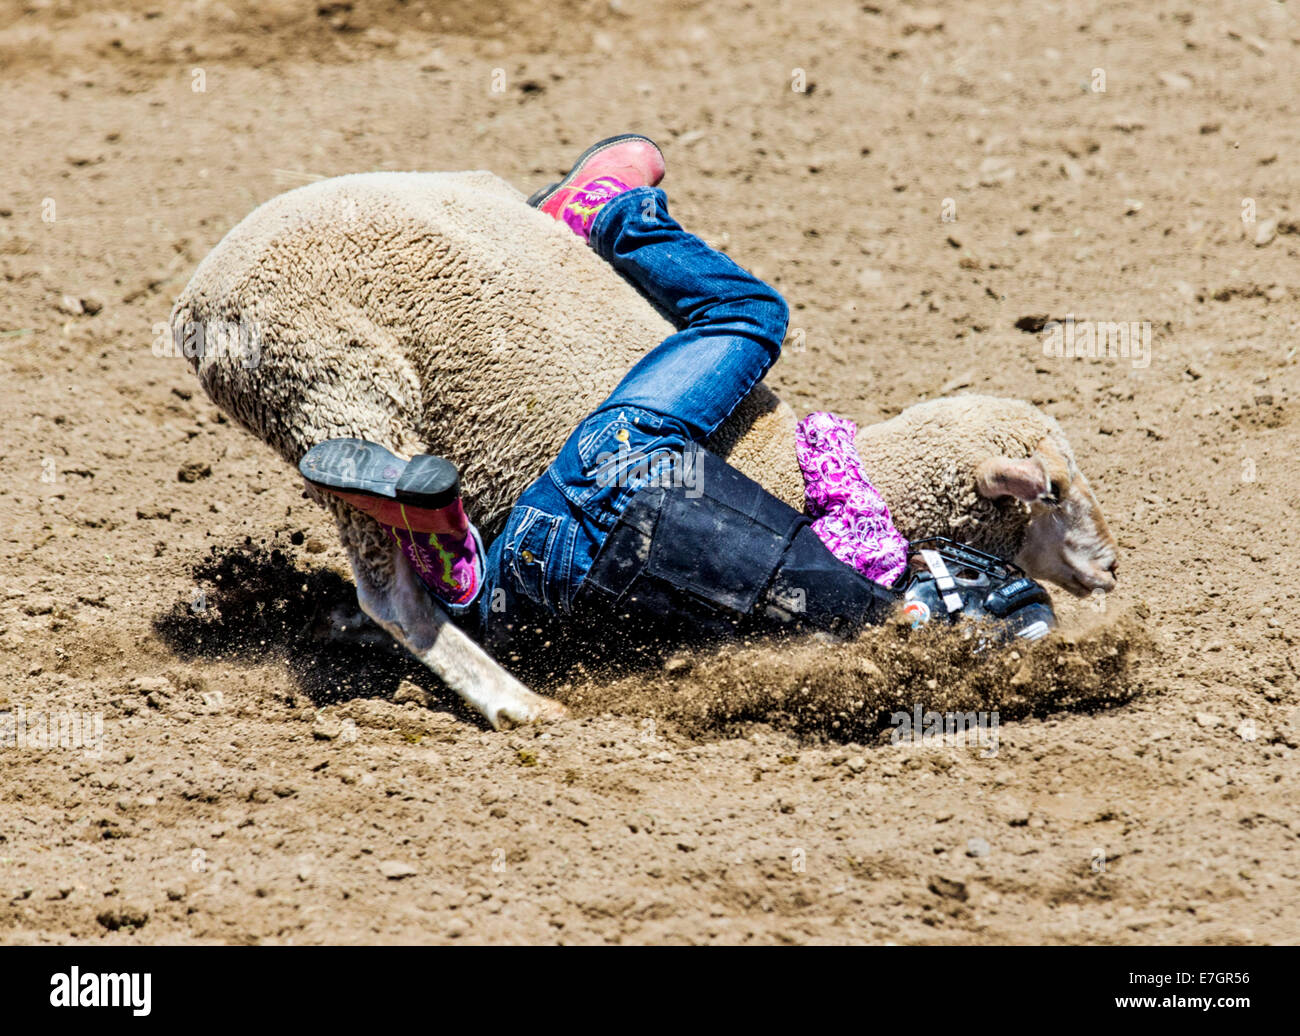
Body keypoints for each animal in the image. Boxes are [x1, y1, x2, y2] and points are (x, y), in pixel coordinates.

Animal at [170, 169, 1117, 727]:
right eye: (1052, 491)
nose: (1111, 567)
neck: (800, 466)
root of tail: (200, 300)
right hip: (338, 381)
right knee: (395, 591)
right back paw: (516, 702)